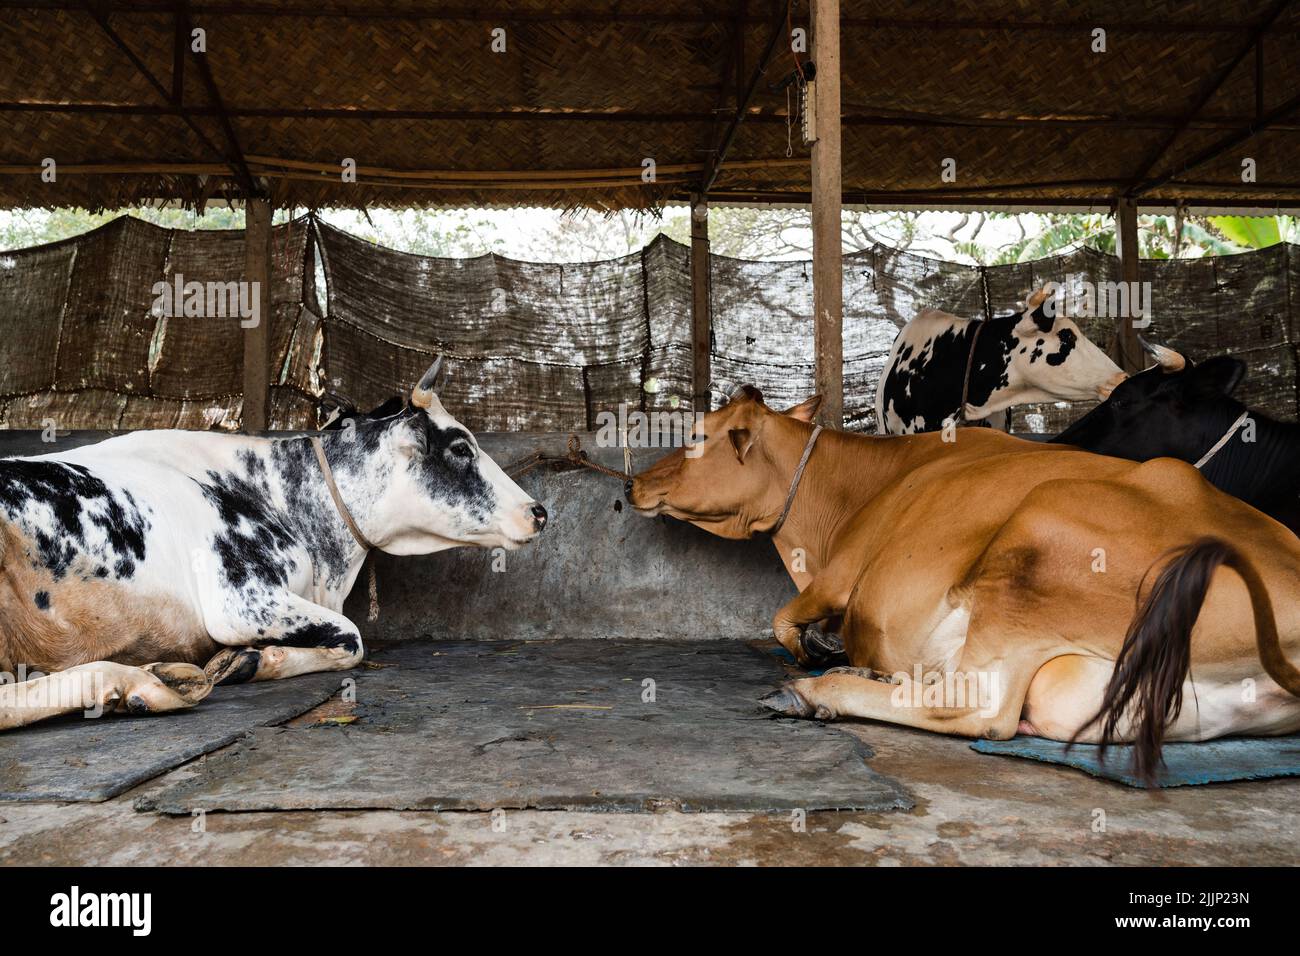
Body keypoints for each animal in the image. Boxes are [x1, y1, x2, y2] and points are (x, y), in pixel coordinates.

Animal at [0, 359, 547, 731]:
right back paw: (141, 684)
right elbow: (353, 638)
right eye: (461, 447)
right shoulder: (240, 600)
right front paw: (252, 661)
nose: (539, 512)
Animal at [628, 386, 1300, 782]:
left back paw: (814, 691)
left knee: (981, 707)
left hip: (1035, 539)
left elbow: (783, 620)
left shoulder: (841, 577)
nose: (630, 483)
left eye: (697, 436)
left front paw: (816, 652)